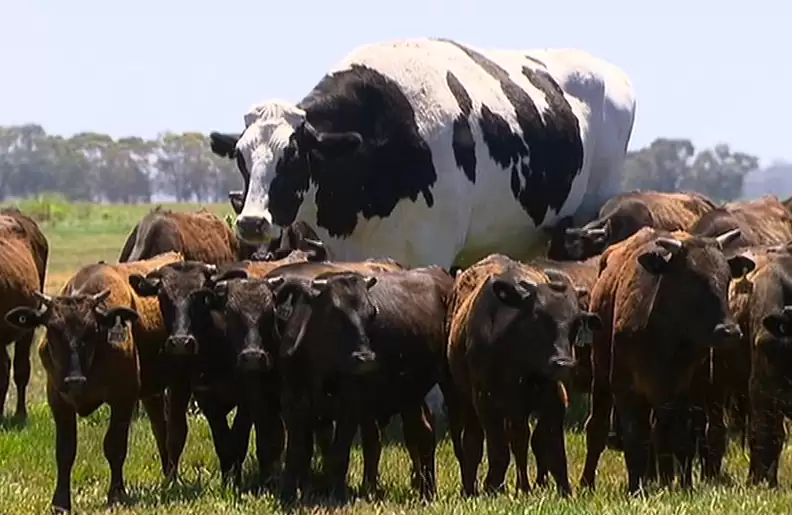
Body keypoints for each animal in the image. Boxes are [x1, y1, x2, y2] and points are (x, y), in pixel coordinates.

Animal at [4, 251, 183, 513]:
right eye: (53, 330)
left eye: (92, 330)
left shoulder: (123, 398)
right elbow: (65, 451)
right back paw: (168, 475)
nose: (74, 380)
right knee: (160, 426)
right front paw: (60, 502)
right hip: (152, 392)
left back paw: (173, 478)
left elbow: (115, 446)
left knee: (174, 430)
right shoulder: (59, 400)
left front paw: (116, 493)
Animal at [264, 265, 453, 502]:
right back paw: (422, 489)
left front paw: (338, 494)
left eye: (372, 313)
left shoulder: (350, 408)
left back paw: (427, 492)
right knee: (421, 432)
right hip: (410, 395)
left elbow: (339, 454)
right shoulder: (293, 403)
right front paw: (288, 494)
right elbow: (296, 452)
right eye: (334, 314)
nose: (365, 358)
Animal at [443, 253, 602, 497]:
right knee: (474, 443)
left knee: (520, 439)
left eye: (576, 323)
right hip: (468, 400)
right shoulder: (486, 400)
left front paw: (564, 489)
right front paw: (493, 486)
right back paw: (472, 488)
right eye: (537, 317)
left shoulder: (552, 397)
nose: (563, 363)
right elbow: (498, 449)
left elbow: (551, 446)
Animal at [578, 227, 756, 494]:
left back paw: (661, 478)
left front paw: (684, 486)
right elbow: (634, 438)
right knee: (597, 427)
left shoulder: (687, 392)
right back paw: (588, 482)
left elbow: (682, 440)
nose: (729, 331)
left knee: (661, 433)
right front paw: (635, 488)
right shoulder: (626, 389)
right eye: (692, 280)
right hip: (600, 373)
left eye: (726, 279)